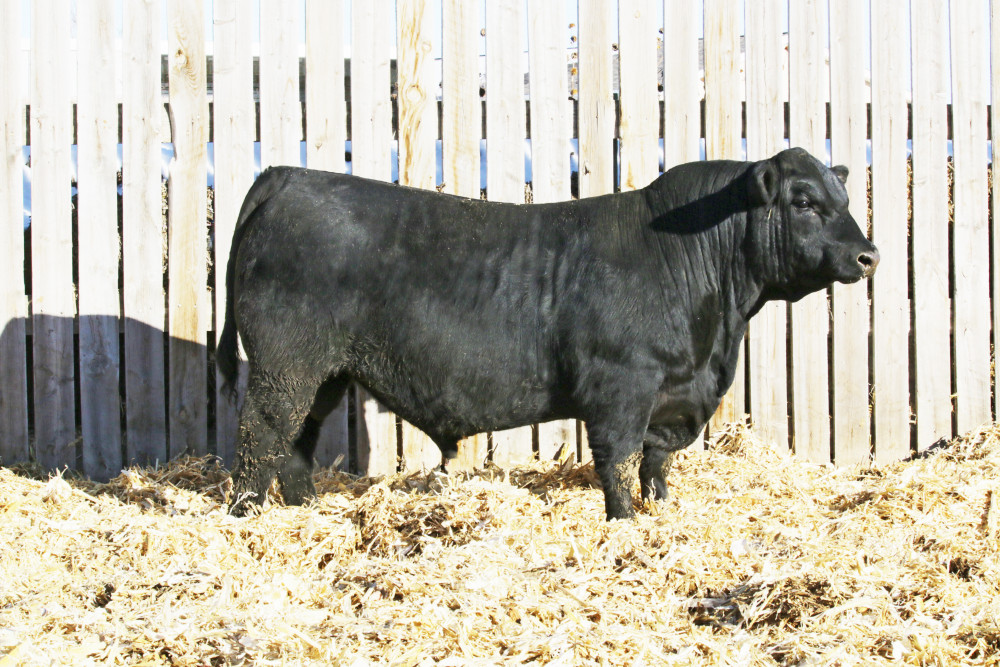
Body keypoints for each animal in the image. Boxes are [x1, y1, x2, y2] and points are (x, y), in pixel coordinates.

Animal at [217, 147, 878, 520]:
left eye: (843, 195)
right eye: (804, 200)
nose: (868, 255)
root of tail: (287, 176)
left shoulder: (673, 395)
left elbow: (656, 463)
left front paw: (663, 514)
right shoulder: (622, 387)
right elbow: (619, 460)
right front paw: (624, 524)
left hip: (323, 372)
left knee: (297, 441)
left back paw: (305, 511)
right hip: (285, 366)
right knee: (260, 434)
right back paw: (246, 517)